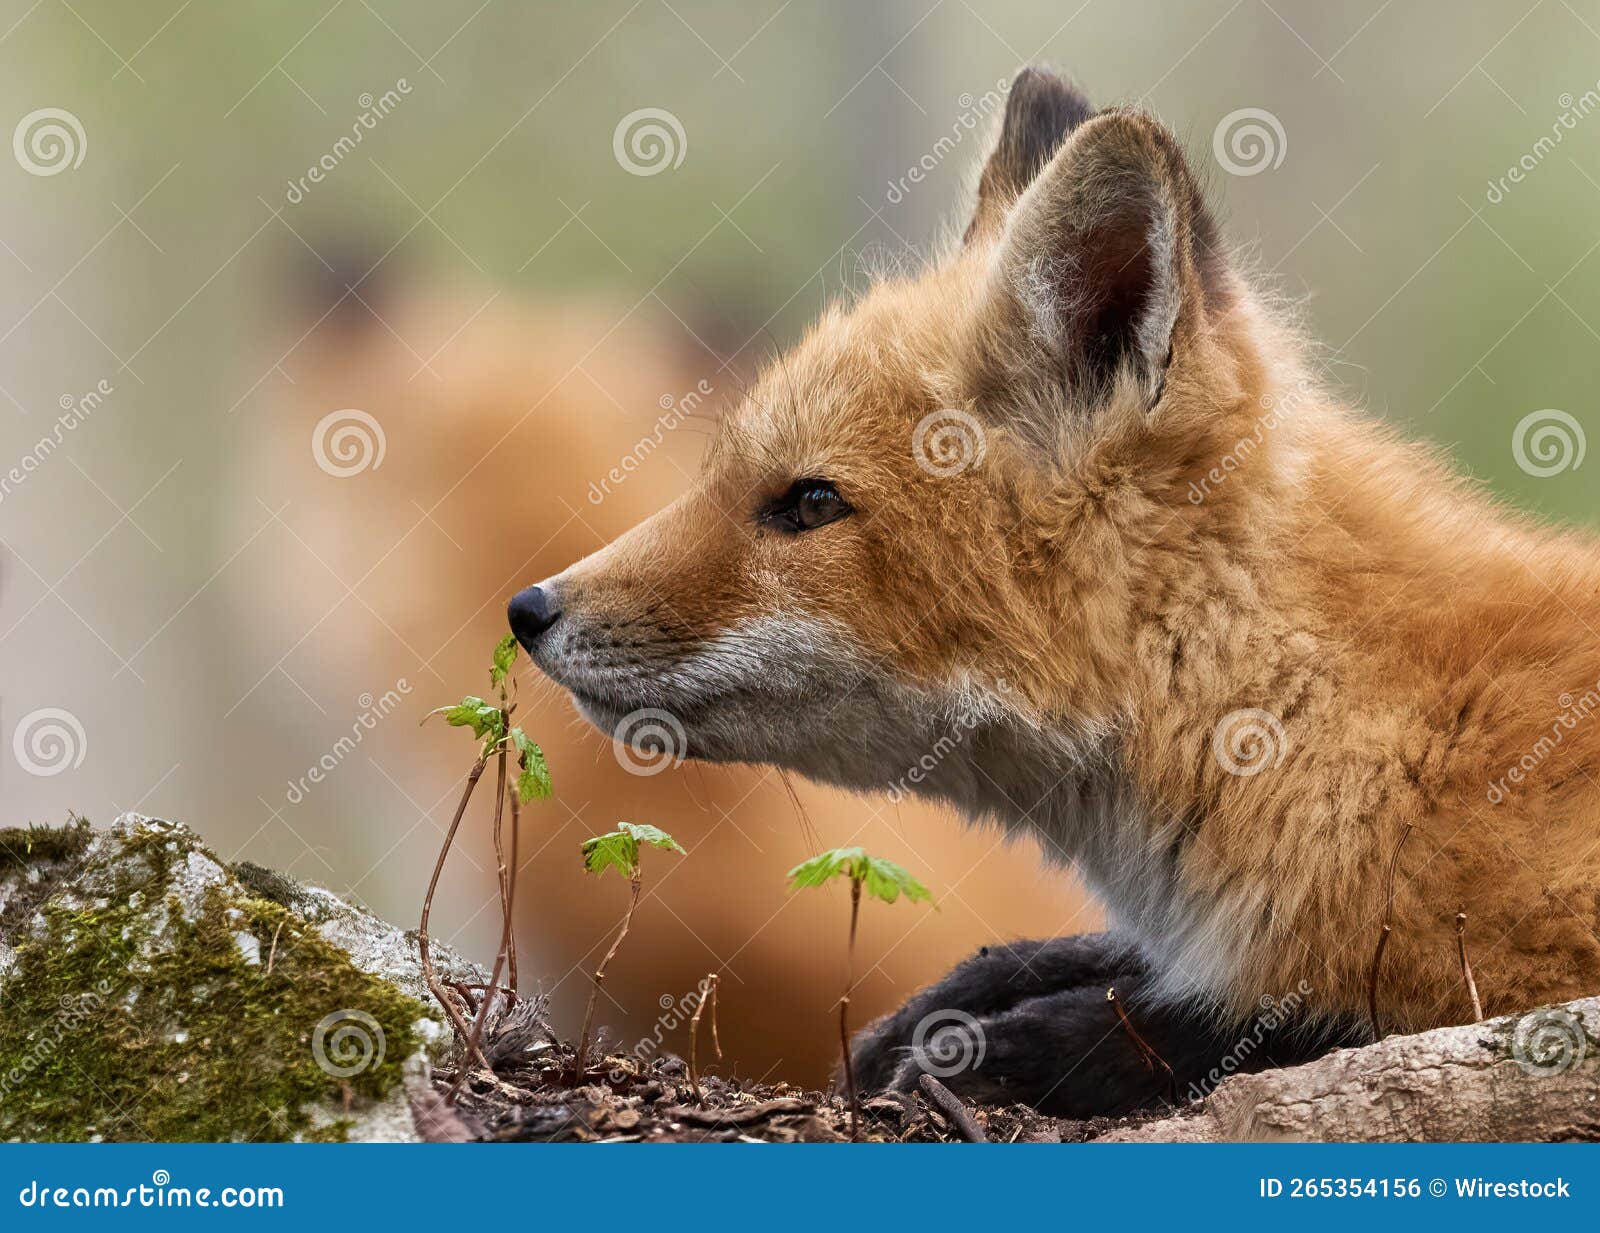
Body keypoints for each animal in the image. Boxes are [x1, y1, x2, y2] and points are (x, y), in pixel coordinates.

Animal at [510, 66, 1600, 1116]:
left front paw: (1024, 1046)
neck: (1322, 727)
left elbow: (1280, 1019)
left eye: (809, 501)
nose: (529, 610)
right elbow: (1067, 961)